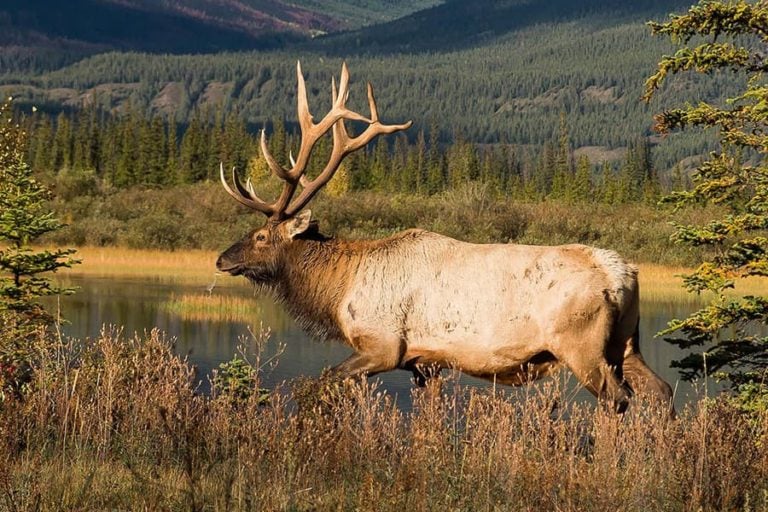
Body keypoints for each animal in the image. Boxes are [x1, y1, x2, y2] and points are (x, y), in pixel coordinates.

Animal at [216, 62, 675, 414]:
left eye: (261, 236)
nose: (222, 259)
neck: (339, 289)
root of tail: (621, 274)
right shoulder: (427, 363)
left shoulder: (384, 345)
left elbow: (322, 382)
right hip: (625, 342)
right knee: (662, 390)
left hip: (581, 345)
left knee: (618, 399)